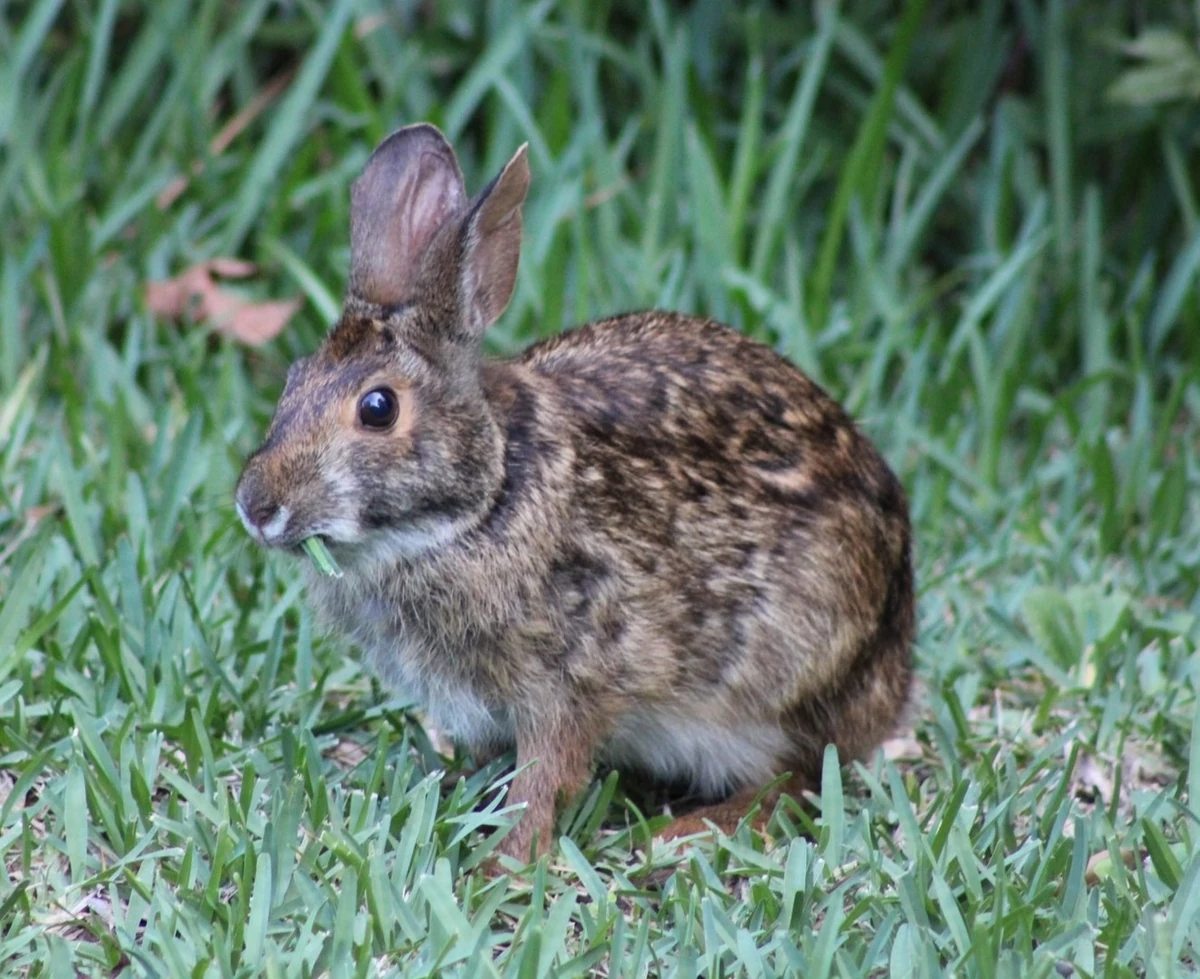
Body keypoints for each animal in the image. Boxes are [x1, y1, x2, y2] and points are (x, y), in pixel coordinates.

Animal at [235, 123, 915, 863]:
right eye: (293, 380)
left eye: (378, 408)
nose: (255, 505)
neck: (486, 498)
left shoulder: (567, 681)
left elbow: (547, 773)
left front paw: (504, 861)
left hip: (782, 669)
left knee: (799, 778)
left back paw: (684, 834)